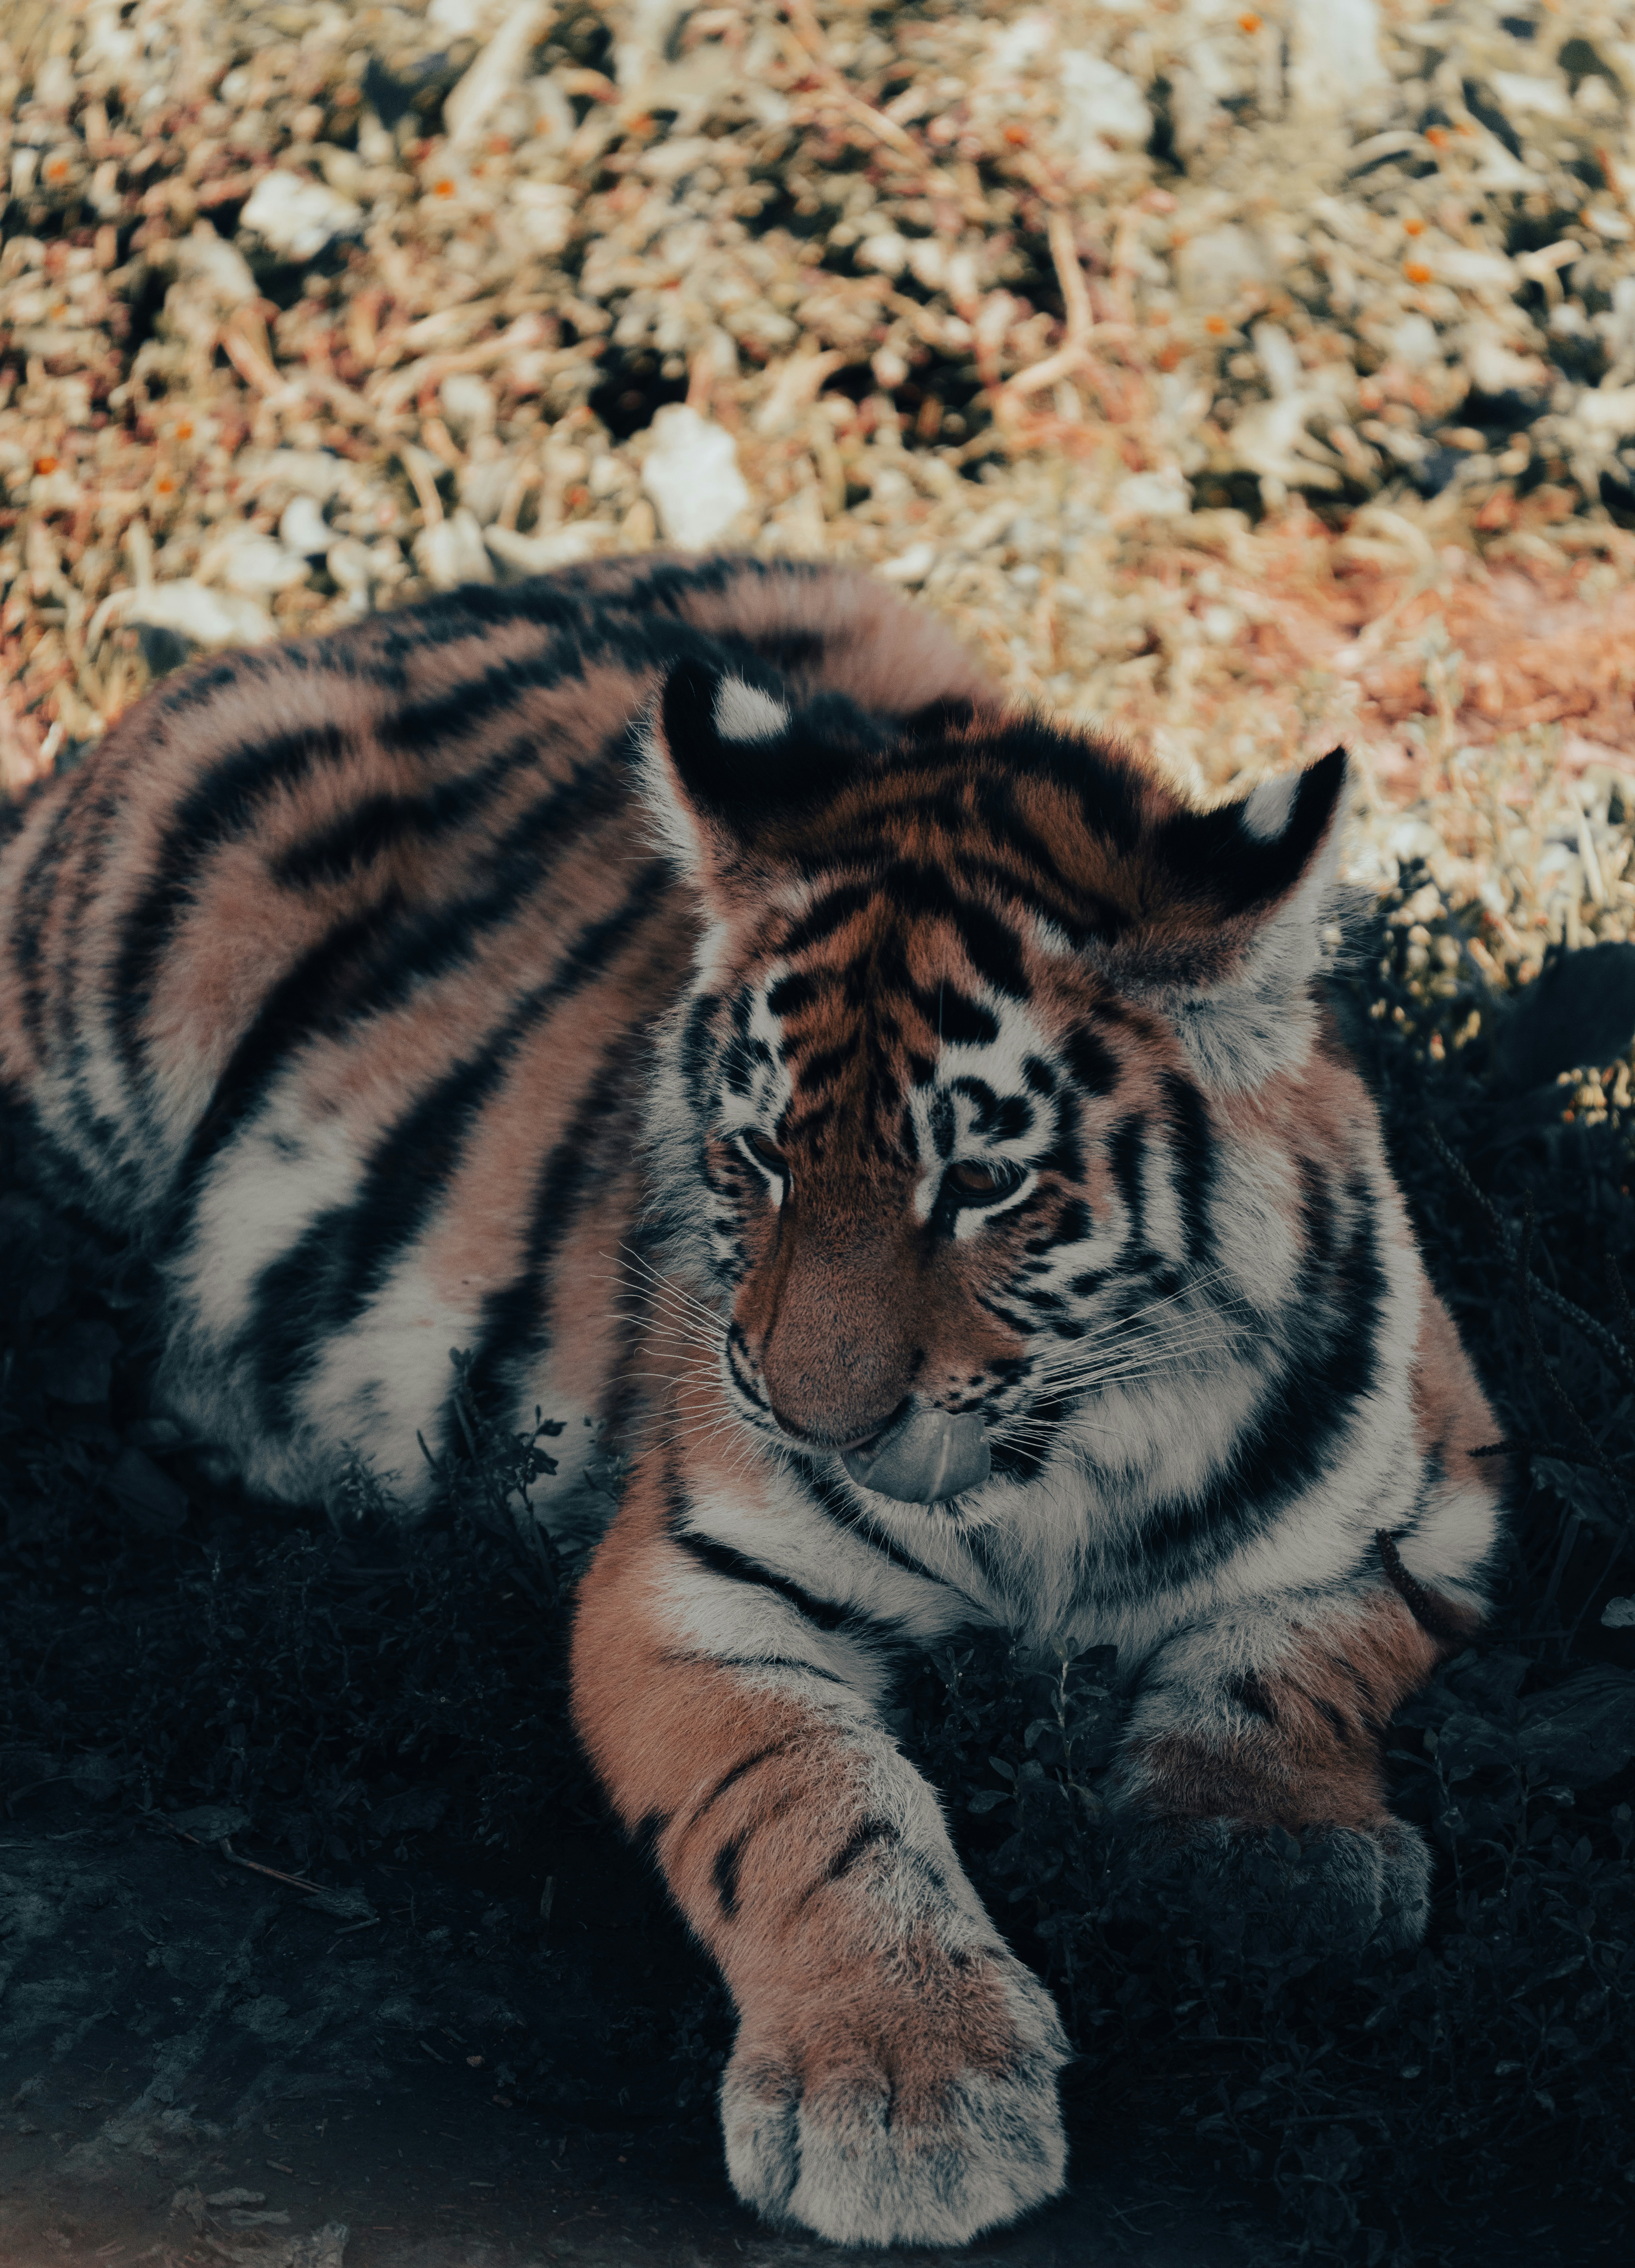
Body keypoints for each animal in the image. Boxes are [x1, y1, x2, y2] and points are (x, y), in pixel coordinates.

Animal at [0, 554, 1503, 2248]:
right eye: (765, 1154)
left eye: (982, 1184)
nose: (811, 1422)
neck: (1060, 1469)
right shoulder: (693, 1580)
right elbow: (814, 1809)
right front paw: (907, 2095)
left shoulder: (1437, 1500)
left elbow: (1289, 1662)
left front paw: (1271, 1866)